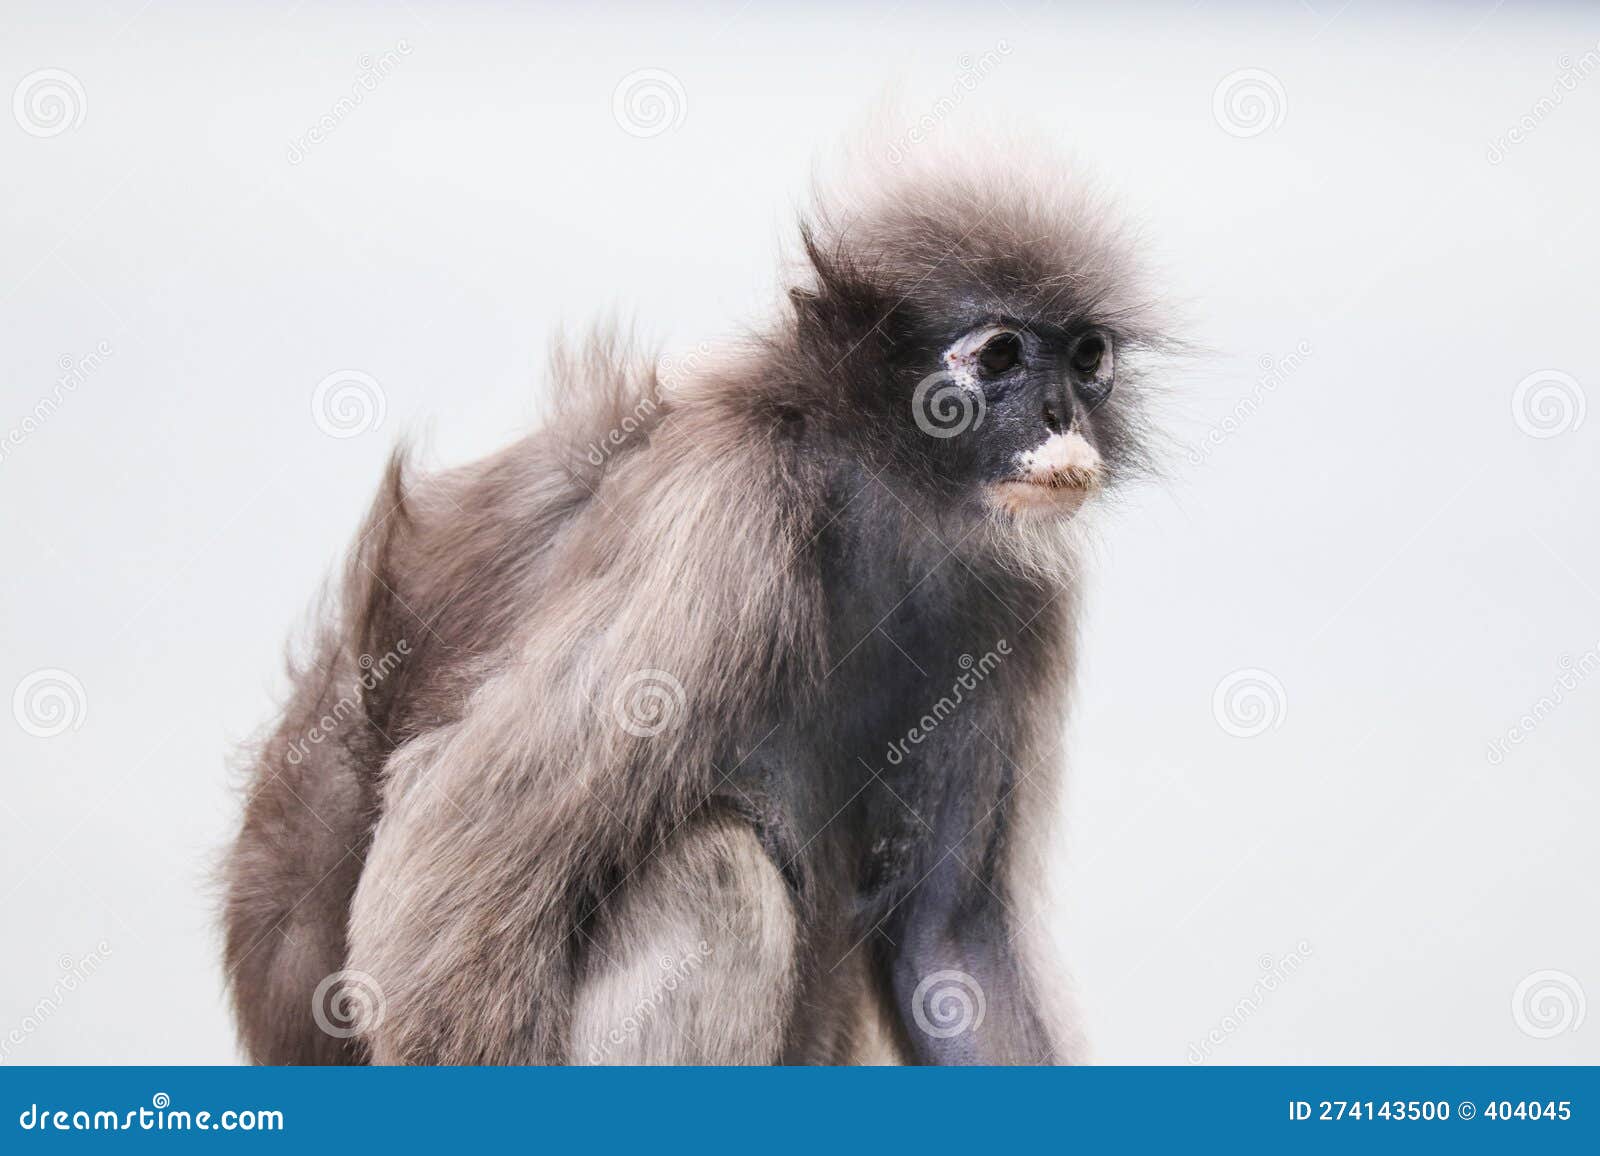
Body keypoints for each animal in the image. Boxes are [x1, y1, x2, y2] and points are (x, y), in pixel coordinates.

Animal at [221, 144, 1167, 1065]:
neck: (875, 492)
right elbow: (439, 891)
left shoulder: (1011, 595)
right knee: (717, 868)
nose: (1060, 411)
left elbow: (947, 946)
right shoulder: (720, 510)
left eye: (1087, 358)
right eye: (1001, 354)